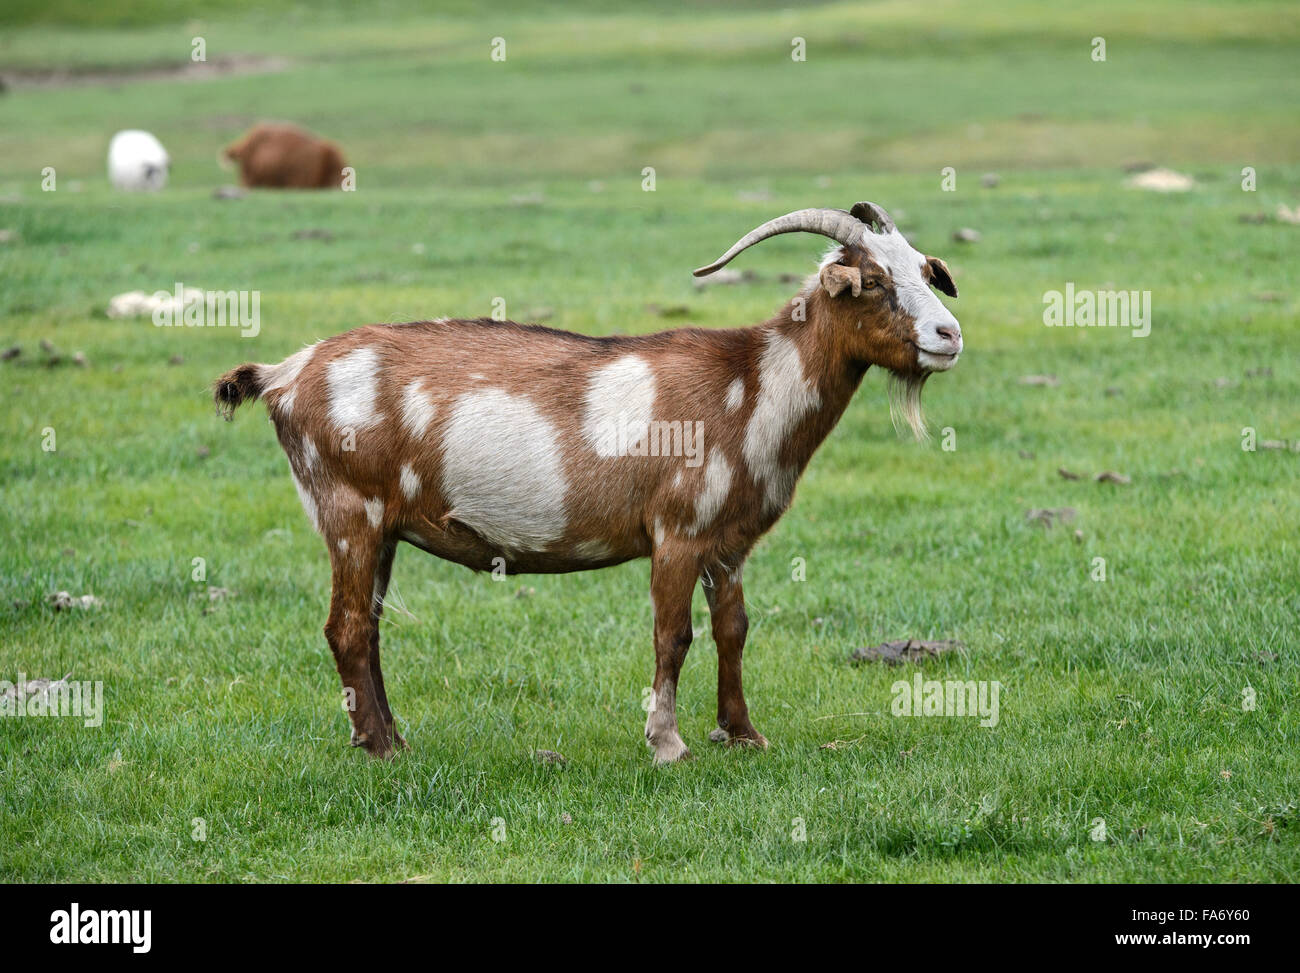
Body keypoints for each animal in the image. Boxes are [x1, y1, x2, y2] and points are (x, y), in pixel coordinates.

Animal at [214, 202, 963, 762]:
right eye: (872, 280)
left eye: (926, 271)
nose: (949, 334)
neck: (751, 387)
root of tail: (284, 373)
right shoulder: (677, 531)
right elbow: (673, 635)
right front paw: (668, 743)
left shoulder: (728, 542)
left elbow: (734, 630)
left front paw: (744, 734)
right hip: (351, 510)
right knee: (345, 627)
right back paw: (377, 747)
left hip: (382, 525)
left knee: (366, 626)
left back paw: (391, 735)